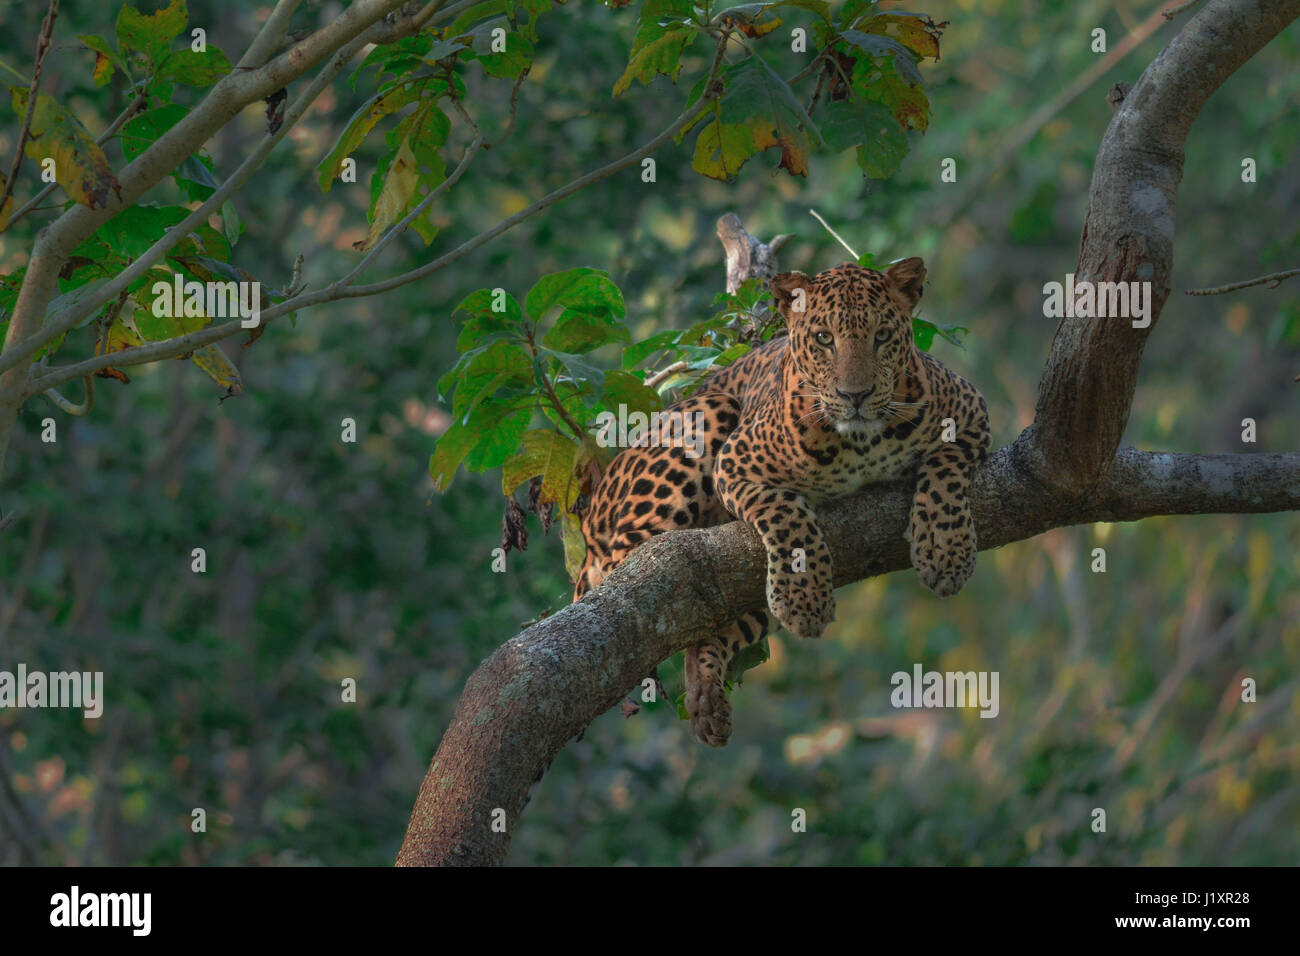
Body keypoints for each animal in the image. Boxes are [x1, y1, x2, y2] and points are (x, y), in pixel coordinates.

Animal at [572, 259, 991, 747]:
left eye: (883, 335)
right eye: (824, 338)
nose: (856, 395)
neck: (863, 443)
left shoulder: (971, 411)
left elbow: (945, 468)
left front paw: (945, 550)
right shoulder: (736, 462)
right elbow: (786, 514)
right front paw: (803, 598)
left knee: (707, 631)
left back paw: (705, 696)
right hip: (707, 411)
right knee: (627, 565)